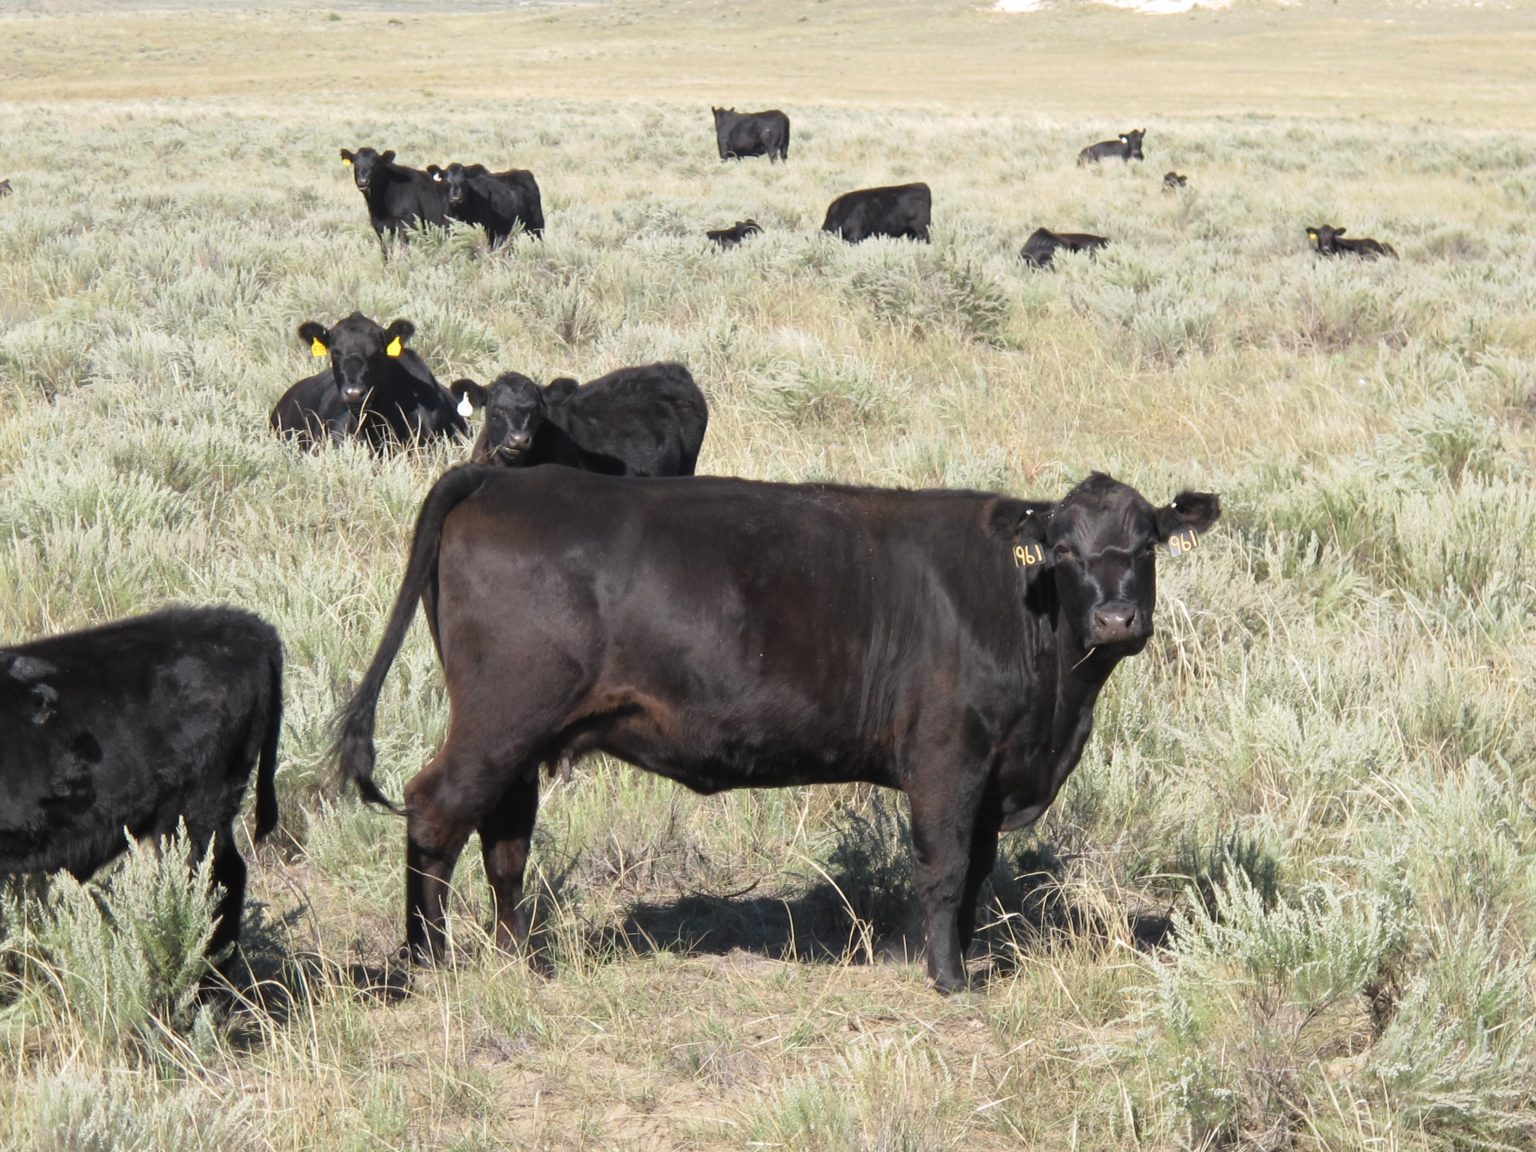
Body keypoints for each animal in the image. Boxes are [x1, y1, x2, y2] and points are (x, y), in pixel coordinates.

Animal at [336, 468, 1219, 992]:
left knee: (505, 841)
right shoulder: (948, 758)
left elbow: (975, 873)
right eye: (1064, 549)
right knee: (436, 812)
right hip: (500, 717)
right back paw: (424, 965)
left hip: (525, 736)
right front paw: (948, 978)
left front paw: (964, 959)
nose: (1115, 617)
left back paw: (526, 962)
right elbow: (944, 869)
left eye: (1147, 544)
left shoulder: (995, 770)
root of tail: (510, 473)